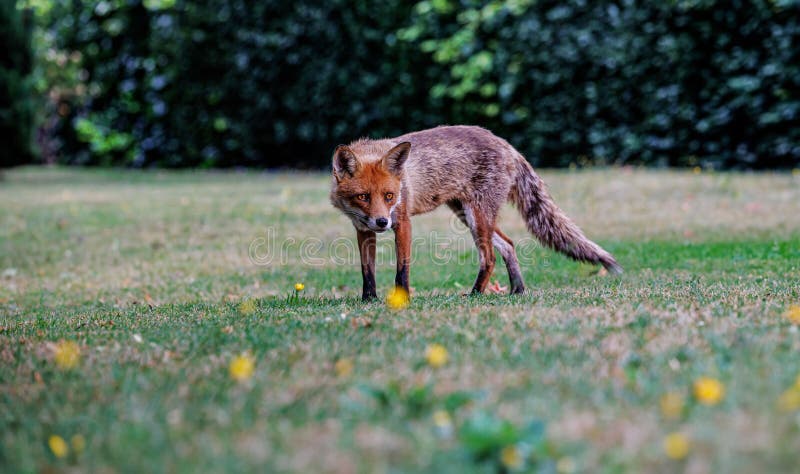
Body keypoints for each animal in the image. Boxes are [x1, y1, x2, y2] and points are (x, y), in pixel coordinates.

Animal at [330, 125, 622, 301]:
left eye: (390, 196)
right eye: (363, 197)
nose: (382, 222)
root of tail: (505, 143)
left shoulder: (402, 222)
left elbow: (402, 269)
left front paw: (401, 301)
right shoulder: (363, 229)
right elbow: (367, 269)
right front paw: (369, 300)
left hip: (477, 217)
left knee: (490, 257)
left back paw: (475, 294)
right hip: (468, 215)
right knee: (508, 245)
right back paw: (517, 290)